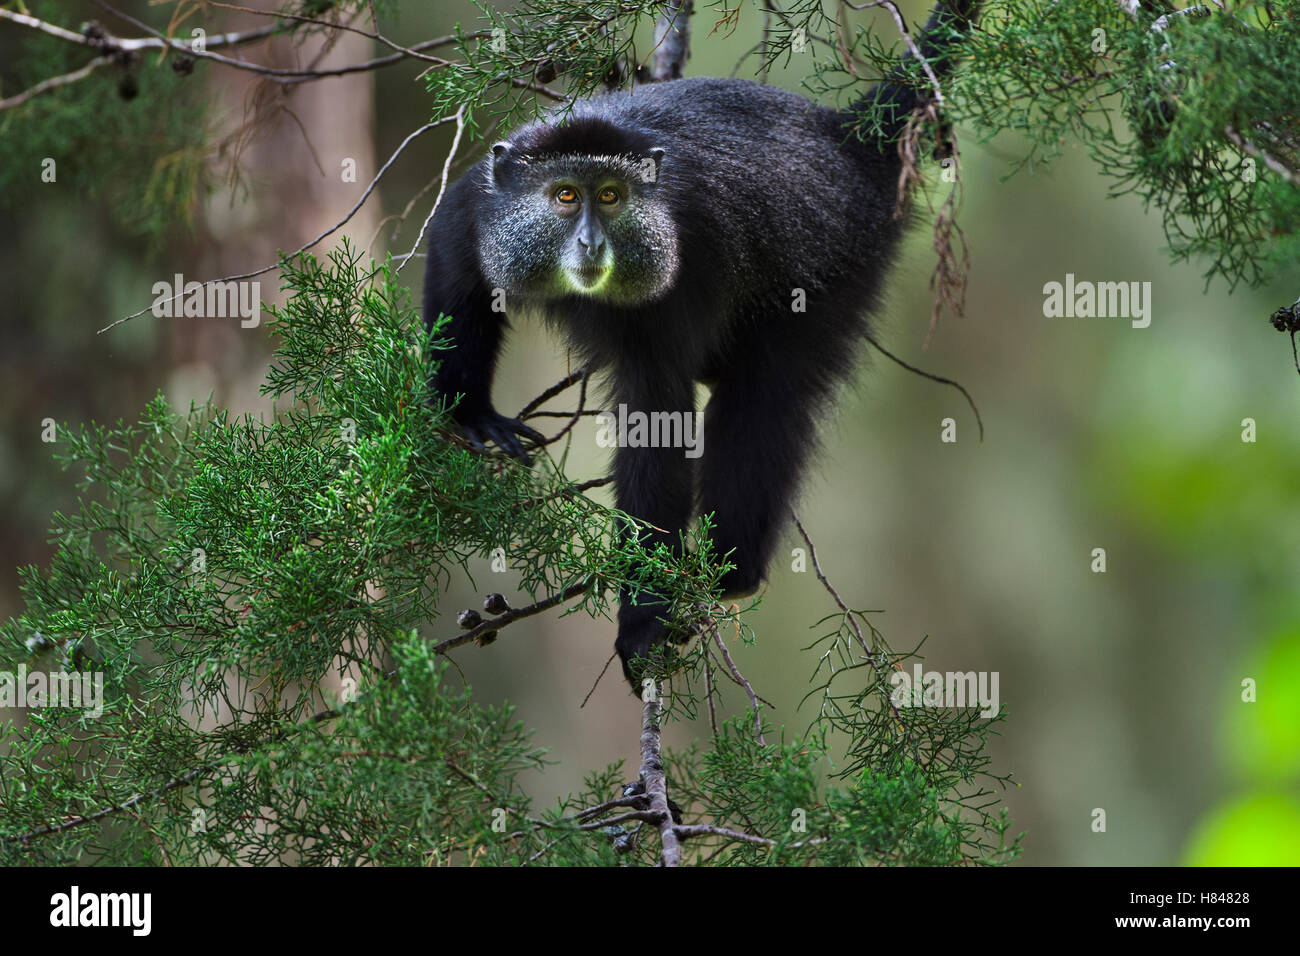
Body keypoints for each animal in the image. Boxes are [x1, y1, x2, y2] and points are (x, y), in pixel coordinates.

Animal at [424, 1, 979, 686]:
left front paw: (642, 623)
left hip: (836, 264)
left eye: (612, 196)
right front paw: (470, 413)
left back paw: (731, 572)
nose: (591, 243)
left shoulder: (668, 295)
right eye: (565, 195)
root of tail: (848, 137)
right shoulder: (476, 206)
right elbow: (459, 282)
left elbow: (659, 418)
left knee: (766, 401)